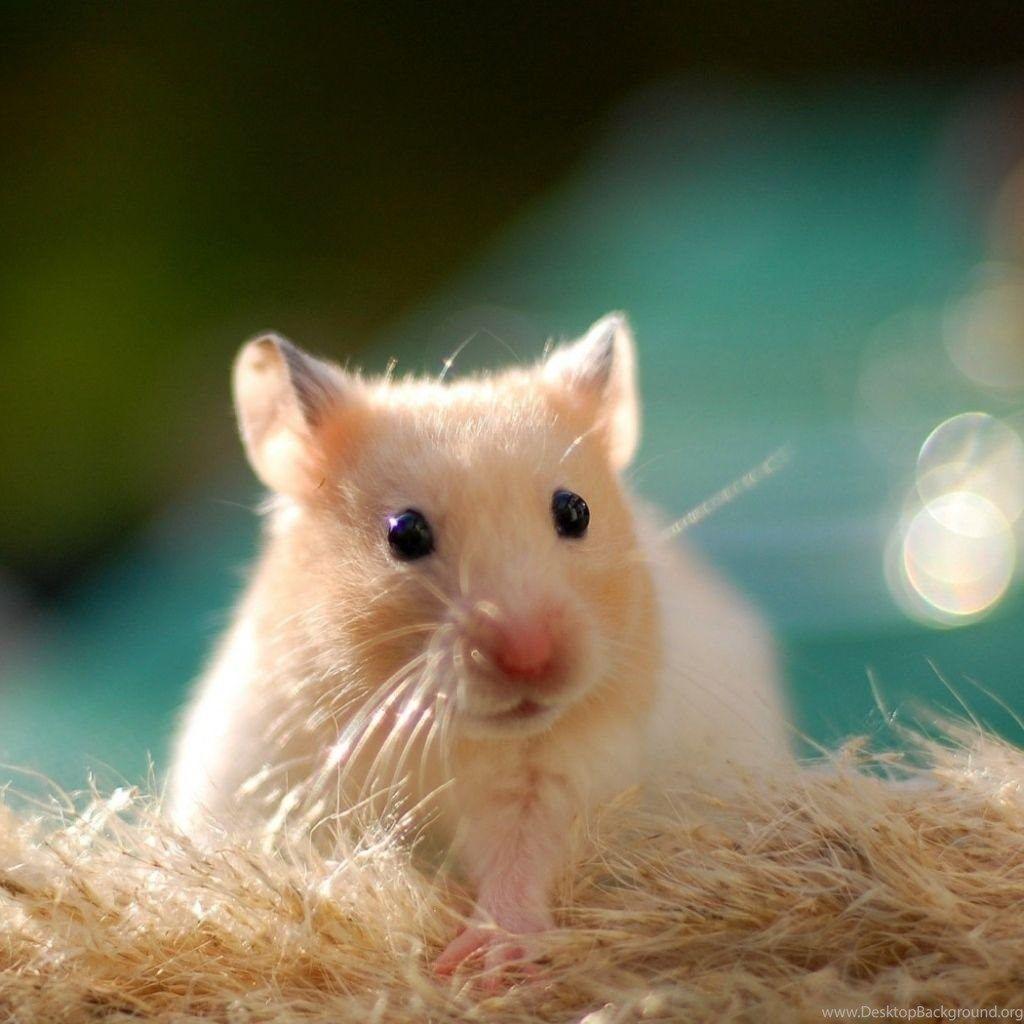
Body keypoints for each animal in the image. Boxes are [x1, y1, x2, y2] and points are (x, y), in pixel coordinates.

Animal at [167, 313, 789, 975]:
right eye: (405, 533)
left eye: (576, 511)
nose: (530, 659)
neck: (443, 735)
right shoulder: (273, 776)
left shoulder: (564, 771)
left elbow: (523, 853)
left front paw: (488, 964)